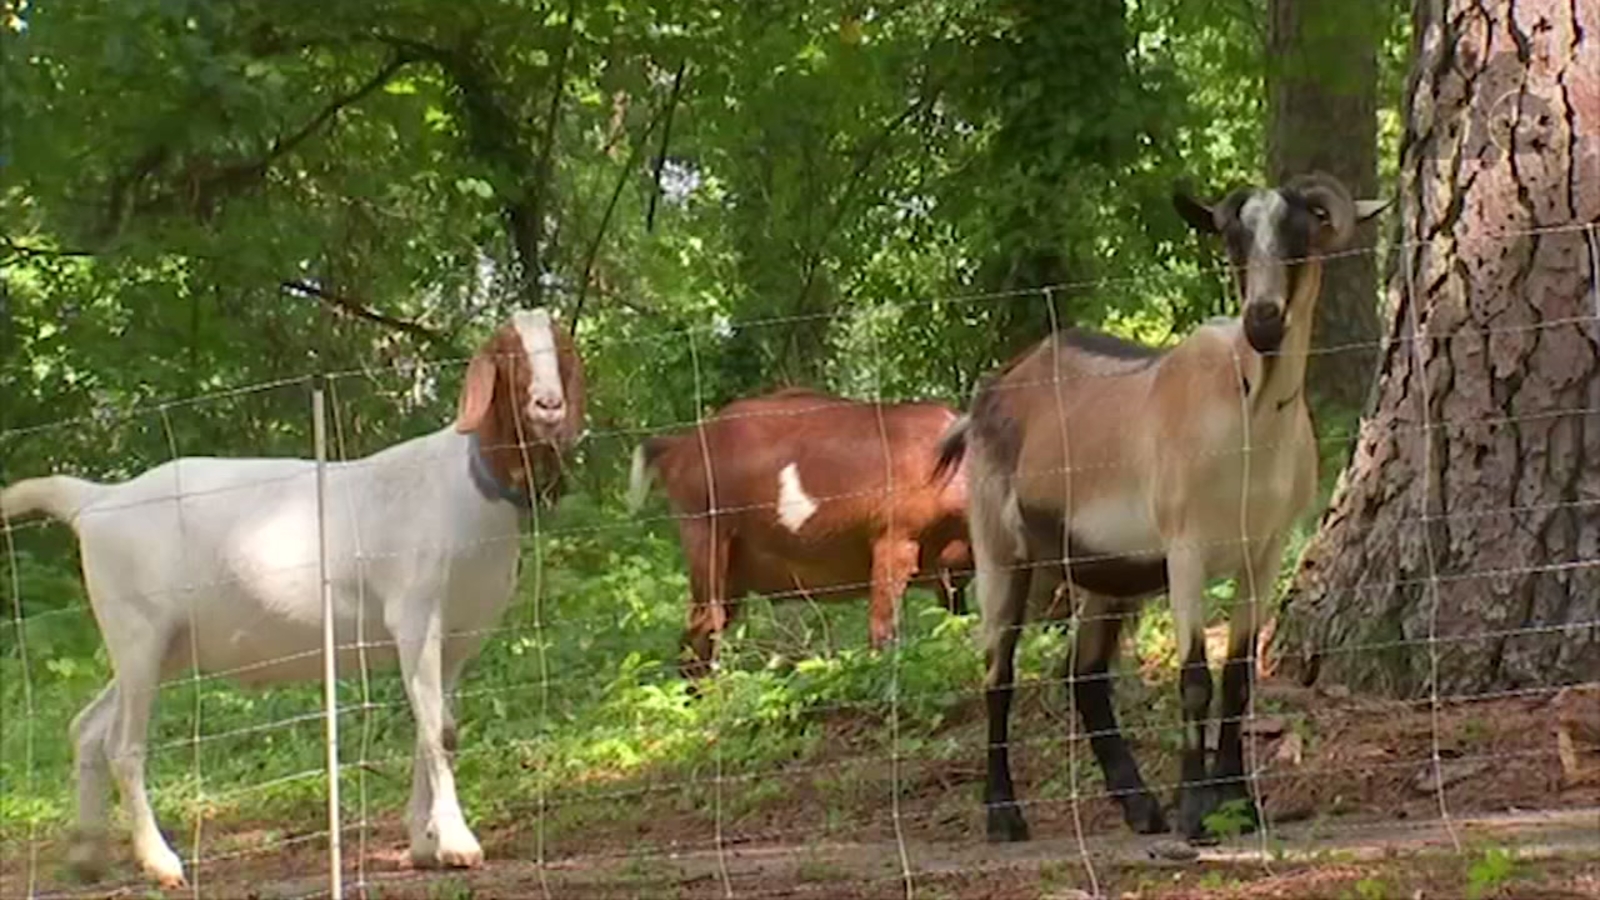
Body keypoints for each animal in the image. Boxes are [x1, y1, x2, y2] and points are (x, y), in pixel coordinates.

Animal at [0, 309, 585, 888]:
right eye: (508, 352)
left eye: (559, 347)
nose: (549, 405)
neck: (466, 487)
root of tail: (96, 502)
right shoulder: (416, 616)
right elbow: (439, 730)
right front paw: (459, 844)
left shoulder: (461, 637)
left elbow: (436, 727)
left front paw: (424, 846)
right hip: (137, 629)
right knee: (123, 745)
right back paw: (161, 862)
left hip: (163, 645)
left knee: (88, 728)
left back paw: (88, 856)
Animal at [629, 388, 972, 679]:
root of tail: (679, 446)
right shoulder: (894, 541)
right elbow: (882, 632)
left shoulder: (951, 573)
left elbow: (960, 624)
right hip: (707, 539)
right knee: (700, 632)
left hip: (735, 572)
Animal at [933, 174, 1386, 843]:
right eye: (1233, 242)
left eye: (1302, 237)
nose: (1263, 321)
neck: (1247, 415)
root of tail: (992, 392)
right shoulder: (1185, 549)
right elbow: (1195, 677)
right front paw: (1196, 813)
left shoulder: (1264, 550)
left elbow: (1238, 677)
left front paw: (1239, 806)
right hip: (1002, 550)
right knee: (998, 672)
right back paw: (1004, 816)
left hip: (1103, 571)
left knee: (1083, 674)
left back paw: (1140, 807)